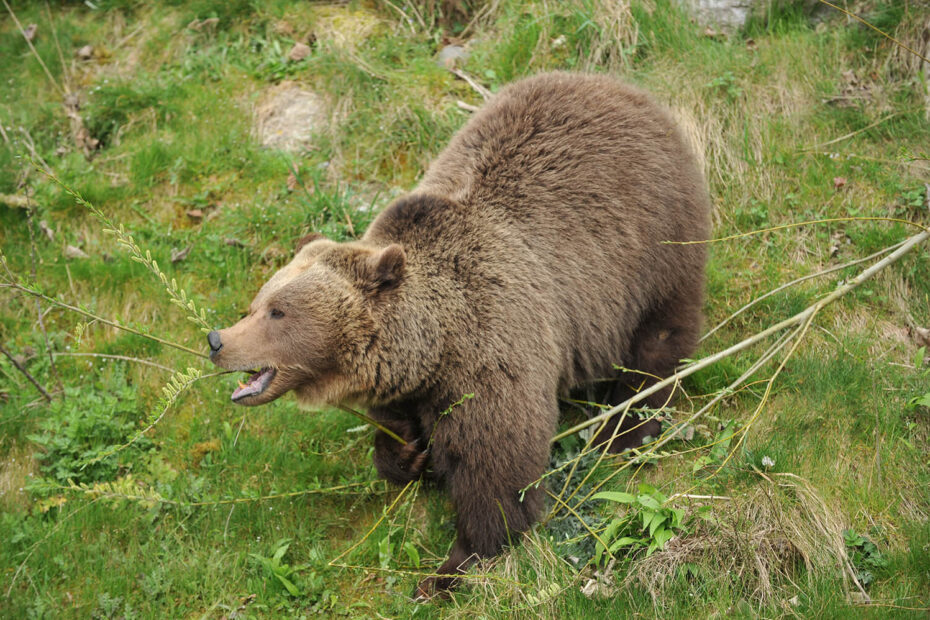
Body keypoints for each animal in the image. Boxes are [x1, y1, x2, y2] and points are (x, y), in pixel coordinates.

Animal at [207, 71, 710, 598]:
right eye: (256, 304)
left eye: (278, 312)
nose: (217, 340)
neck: (434, 345)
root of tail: (622, 87)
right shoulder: (405, 383)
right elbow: (397, 430)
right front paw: (406, 454)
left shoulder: (493, 346)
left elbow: (497, 467)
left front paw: (451, 566)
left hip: (651, 245)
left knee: (658, 340)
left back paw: (626, 429)